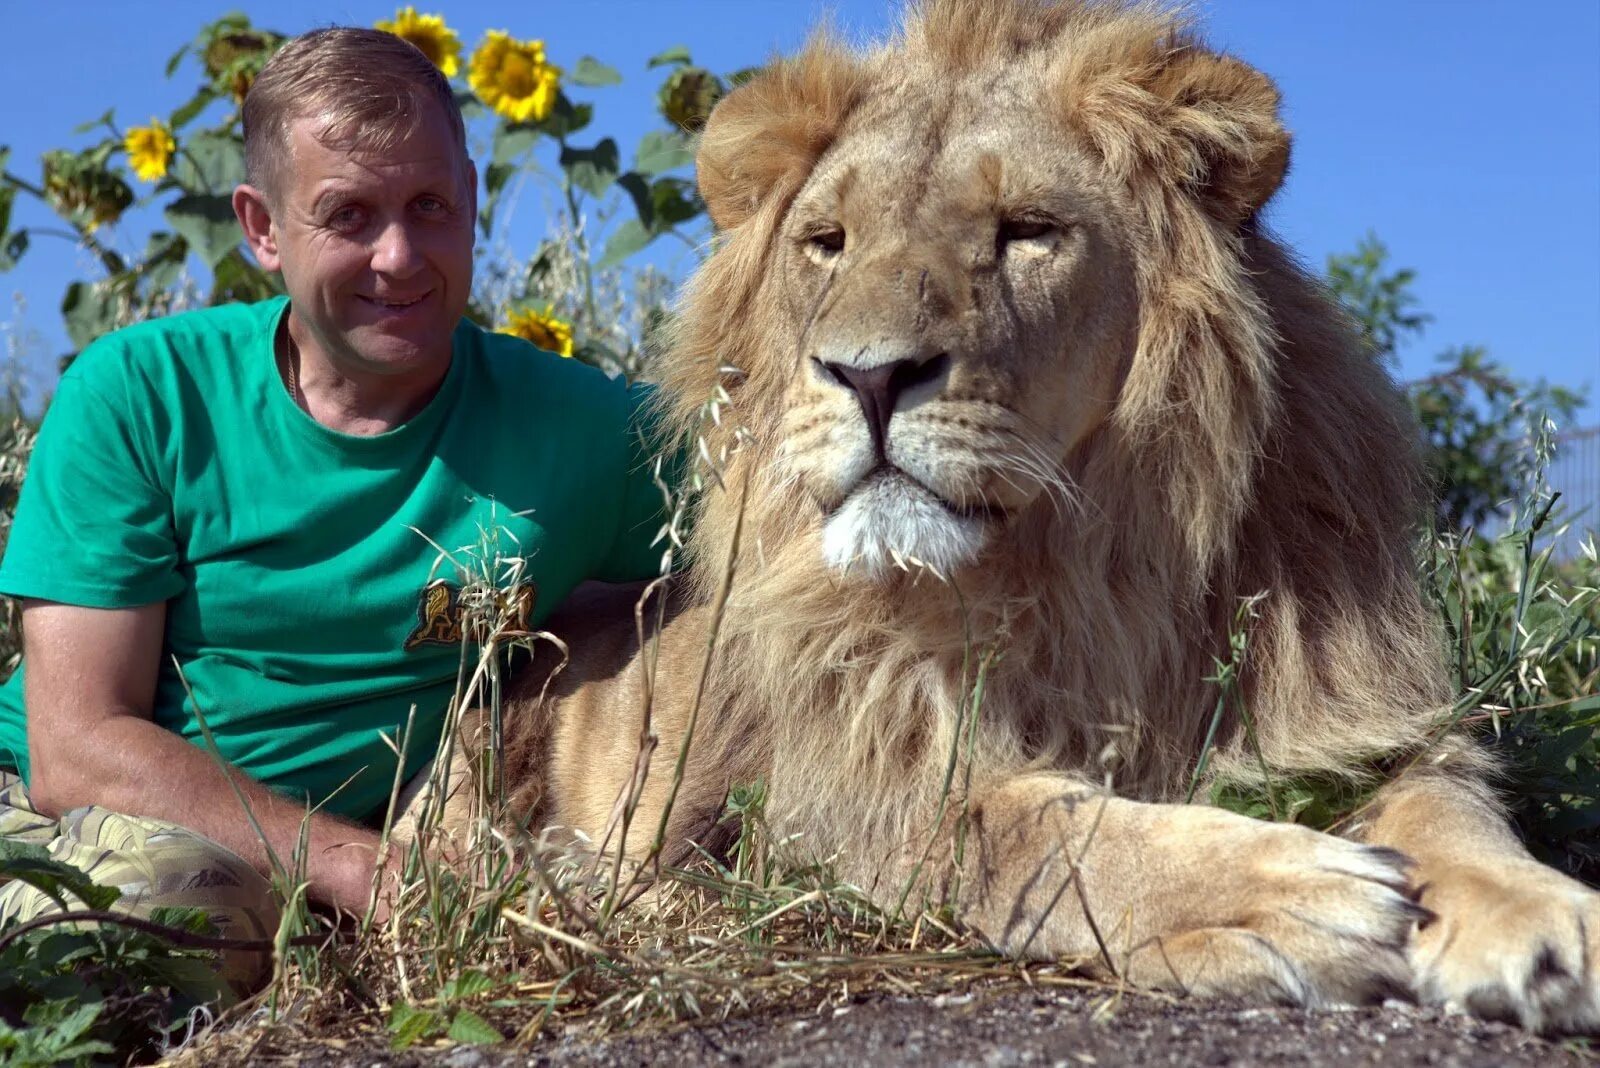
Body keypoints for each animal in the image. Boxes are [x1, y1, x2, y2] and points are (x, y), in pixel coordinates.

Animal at [415, 0, 1600, 1034]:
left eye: (1029, 232)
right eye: (827, 242)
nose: (868, 375)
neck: (1078, 573)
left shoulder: (1350, 715)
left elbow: (1449, 807)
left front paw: (1548, 921)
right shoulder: (831, 802)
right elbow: (1022, 829)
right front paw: (1277, 893)